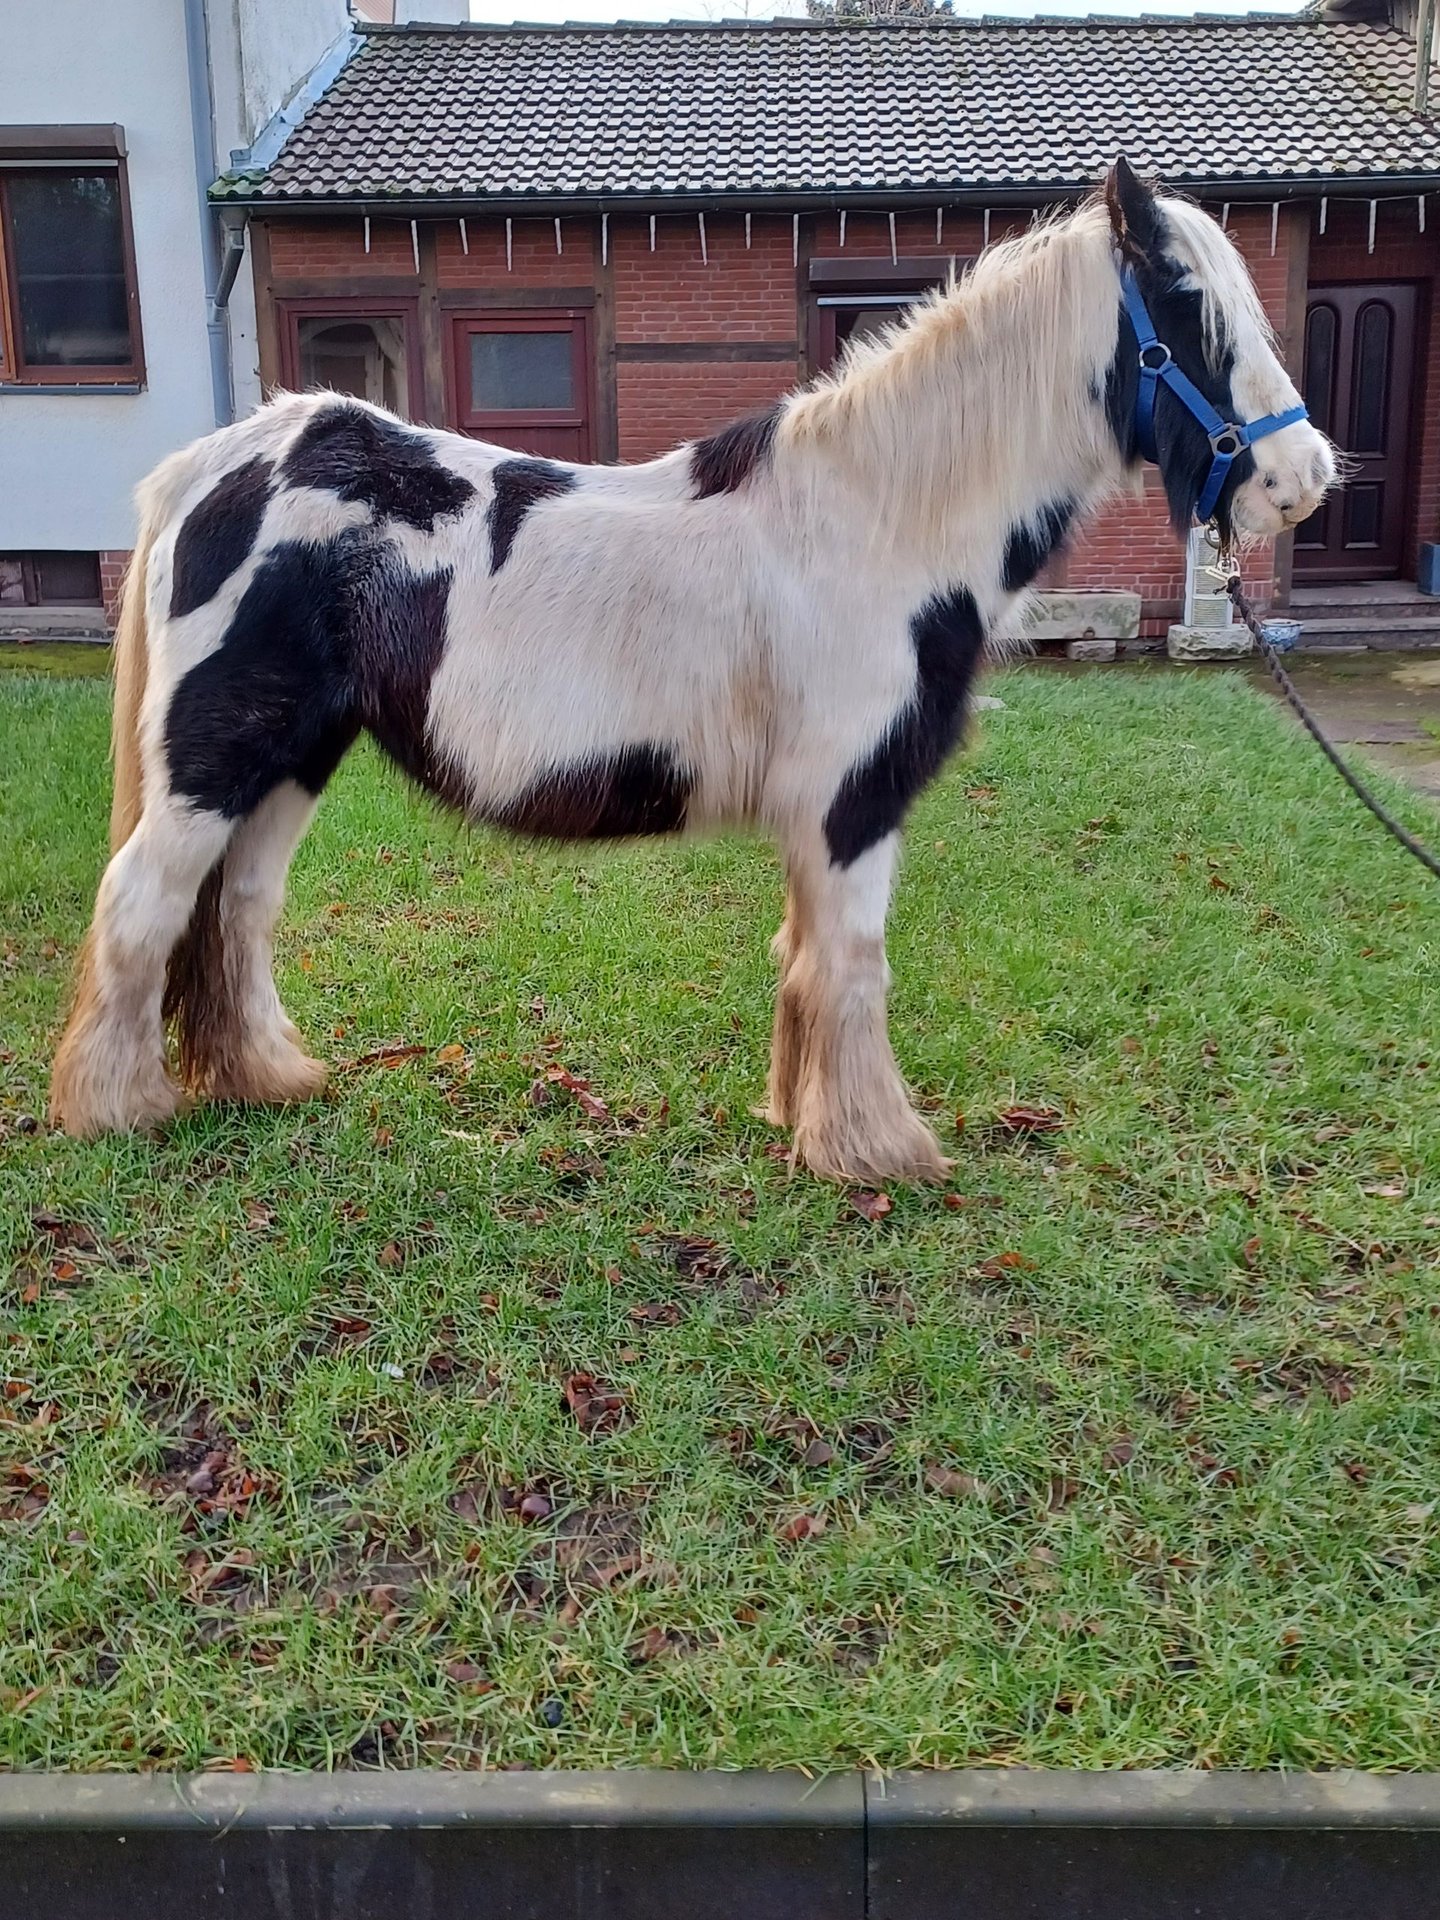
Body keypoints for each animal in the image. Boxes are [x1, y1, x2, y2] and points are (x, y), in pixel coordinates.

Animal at [50, 160, 1335, 1181]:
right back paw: (114, 1110)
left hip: (290, 757)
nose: (1302, 480)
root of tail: (210, 465)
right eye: (1186, 306)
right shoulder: (853, 804)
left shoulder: (824, 818)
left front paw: (801, 1123)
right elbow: (854, 967)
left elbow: (804, 961)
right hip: (211, 762)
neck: (877, 522)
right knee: (144, 902)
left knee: (235, 910)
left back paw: (263, 1078)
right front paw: (877, 1151)